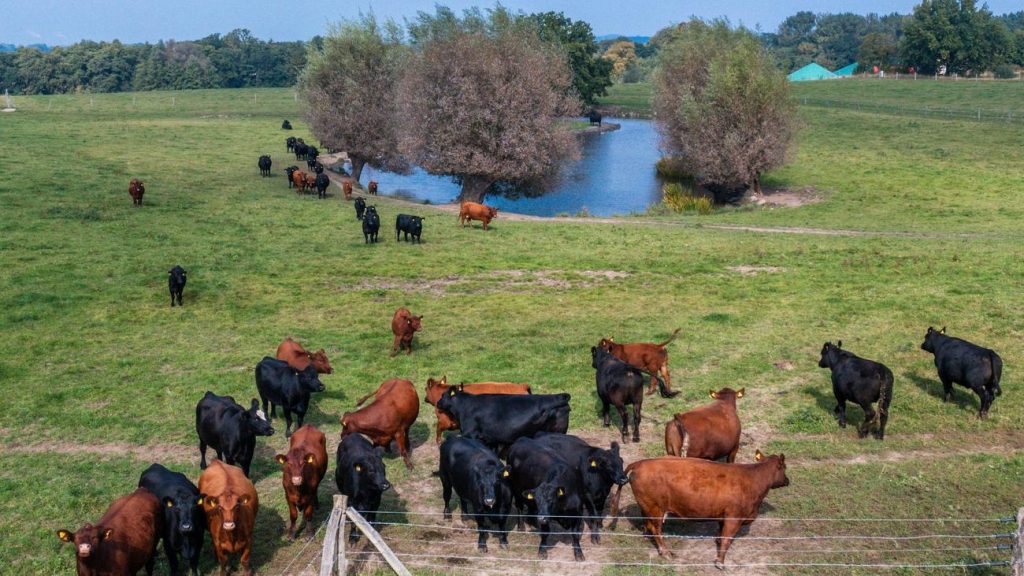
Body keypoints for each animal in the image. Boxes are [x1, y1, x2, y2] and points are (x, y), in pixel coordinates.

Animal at [436, 387, 573, 450]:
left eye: (442, 395)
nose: (438, 403)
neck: (465, 406)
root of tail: (558, 396)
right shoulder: (491, 439)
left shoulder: (471, 434)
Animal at [610, 448, 786, 565]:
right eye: (784, 468)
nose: (787, 480)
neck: (752, 478)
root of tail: (641, 463)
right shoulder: (734, 517)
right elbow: (727, 539)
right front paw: (720, 562)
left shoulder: (723, 515)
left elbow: (721, 533)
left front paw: (717, 543)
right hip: (656, 509)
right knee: (656, 530)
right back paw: (665, 552)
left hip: (648, 507)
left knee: (647, 524)